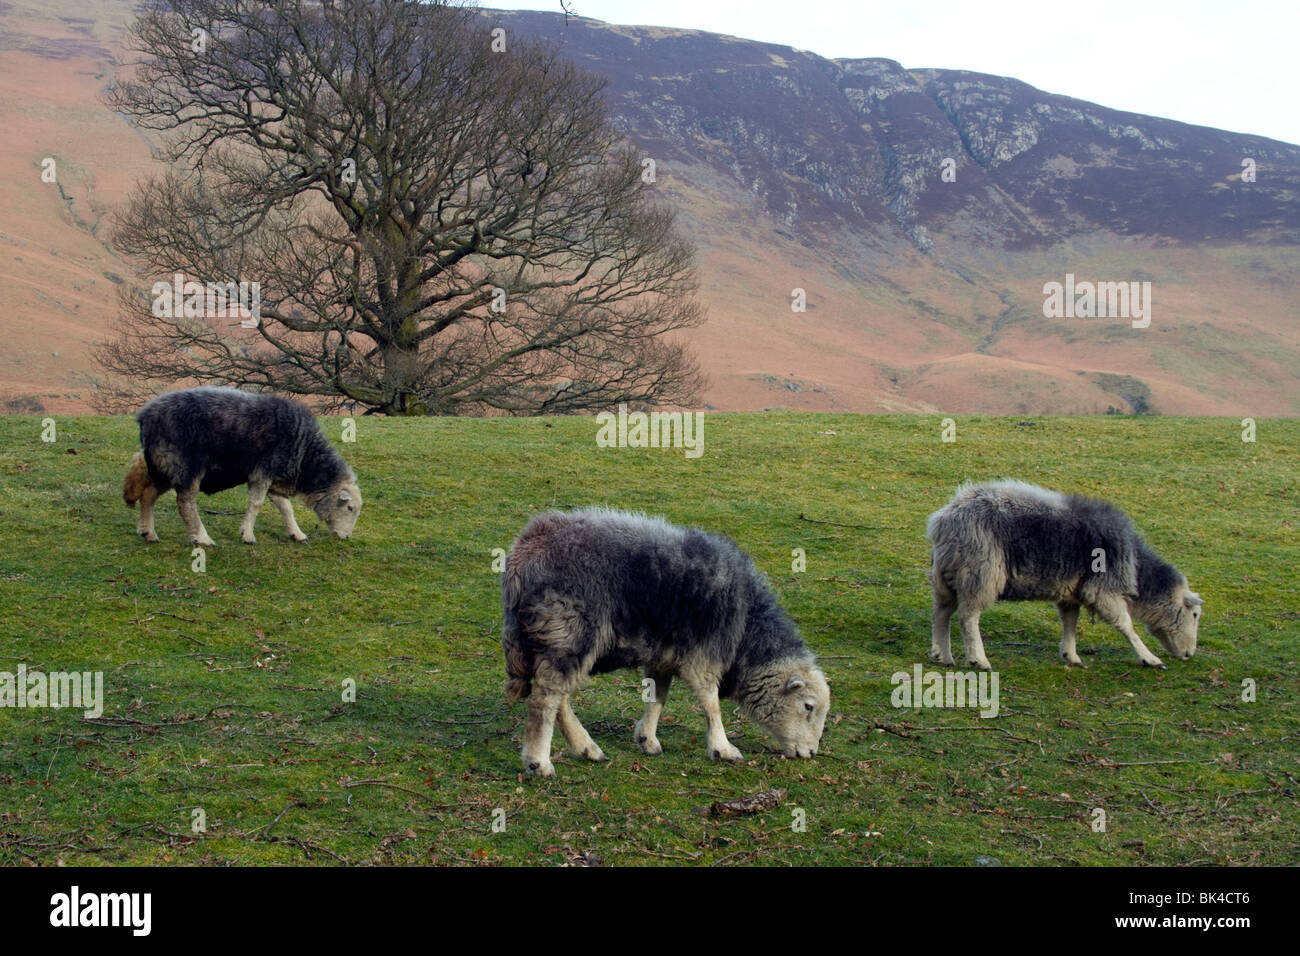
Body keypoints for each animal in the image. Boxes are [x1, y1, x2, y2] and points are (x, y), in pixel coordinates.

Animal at [123, 387, 361, 545]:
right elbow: (256, 504)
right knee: (184, 502)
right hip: (184, 466)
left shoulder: (275, 478)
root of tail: (146, 417)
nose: (346, 537)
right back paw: (202, 538)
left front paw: (297, 533)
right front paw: (247, 534)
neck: (305, 457)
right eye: (350, 508)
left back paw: (148, 533)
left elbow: (286, 508)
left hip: (164, 465)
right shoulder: (263, 472)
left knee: (148, 495)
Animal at [501, 508, 830, 777]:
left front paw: (647, 738)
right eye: (808, 706)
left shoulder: (664, 657)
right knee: (546, 697)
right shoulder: (704, 656)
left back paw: (586, 748)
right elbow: (711, 703)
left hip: (556, 639)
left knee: (559, 697)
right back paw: (539, 762)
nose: (811, 753)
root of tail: (523, 554)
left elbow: (658, 697)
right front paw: (722, 749)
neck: (747, 628)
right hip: (569, 631)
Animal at [927, 480, 1202, 670]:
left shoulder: (1072, 593)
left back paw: (943, 655)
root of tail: (945, 518)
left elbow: (1070, 622)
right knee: (968, 616)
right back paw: (978, 659)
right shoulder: (1104, 590)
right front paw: (1149, 658)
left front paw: (1071, 656)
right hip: (980, 572)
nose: (1190, 654)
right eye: (1195, 615)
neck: (1135, 566)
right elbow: (1126, 625)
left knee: (941, 613)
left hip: (948, 575)